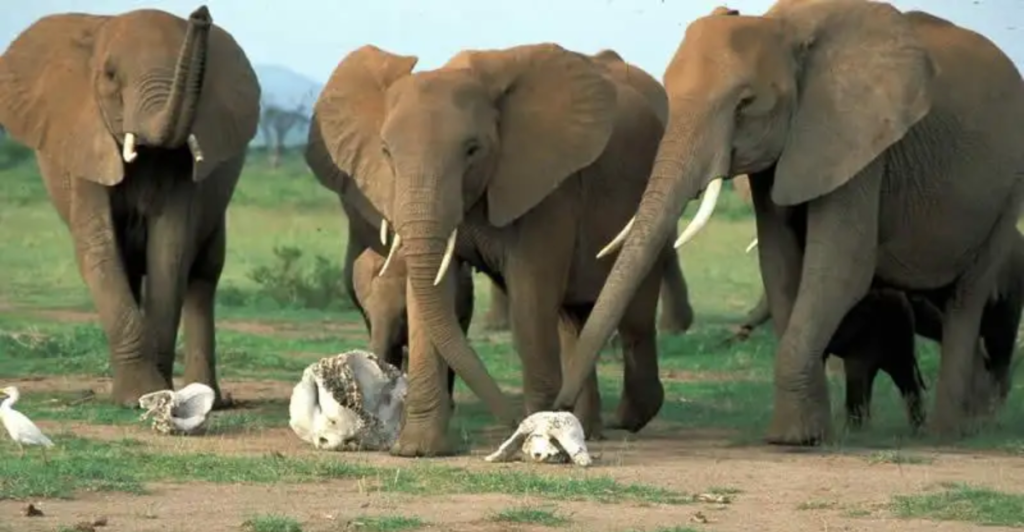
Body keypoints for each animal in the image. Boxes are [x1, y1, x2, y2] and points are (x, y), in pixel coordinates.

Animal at [0, 7, 260, 406]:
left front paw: (156, 394)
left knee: (203, 276)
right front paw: (139, 395)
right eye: (109, 75)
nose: (201, 14)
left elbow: (170, 250)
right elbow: (99, 248)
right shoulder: (85, 144)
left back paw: (209, 399)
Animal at [306, 43, 683, 455]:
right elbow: (432, 295)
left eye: (473, 150)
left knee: (633, 316)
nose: (512, 422)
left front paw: (541, 441)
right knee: (574, 321)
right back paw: (587, 427)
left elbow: (530, 297)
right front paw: (417, 451)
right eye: (386, 152)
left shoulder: (547, 186)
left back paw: (625, 417)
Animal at [553, 0, 1024, 445]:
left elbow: (840, 269)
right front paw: (805, 433)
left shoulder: (857, 140)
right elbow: (779, 264)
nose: (558, 409)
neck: (785, 29)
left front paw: (794, 438)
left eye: (745, 105)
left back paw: (948, 432)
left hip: (1006, 196)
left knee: (967, 298)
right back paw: (967, 421)